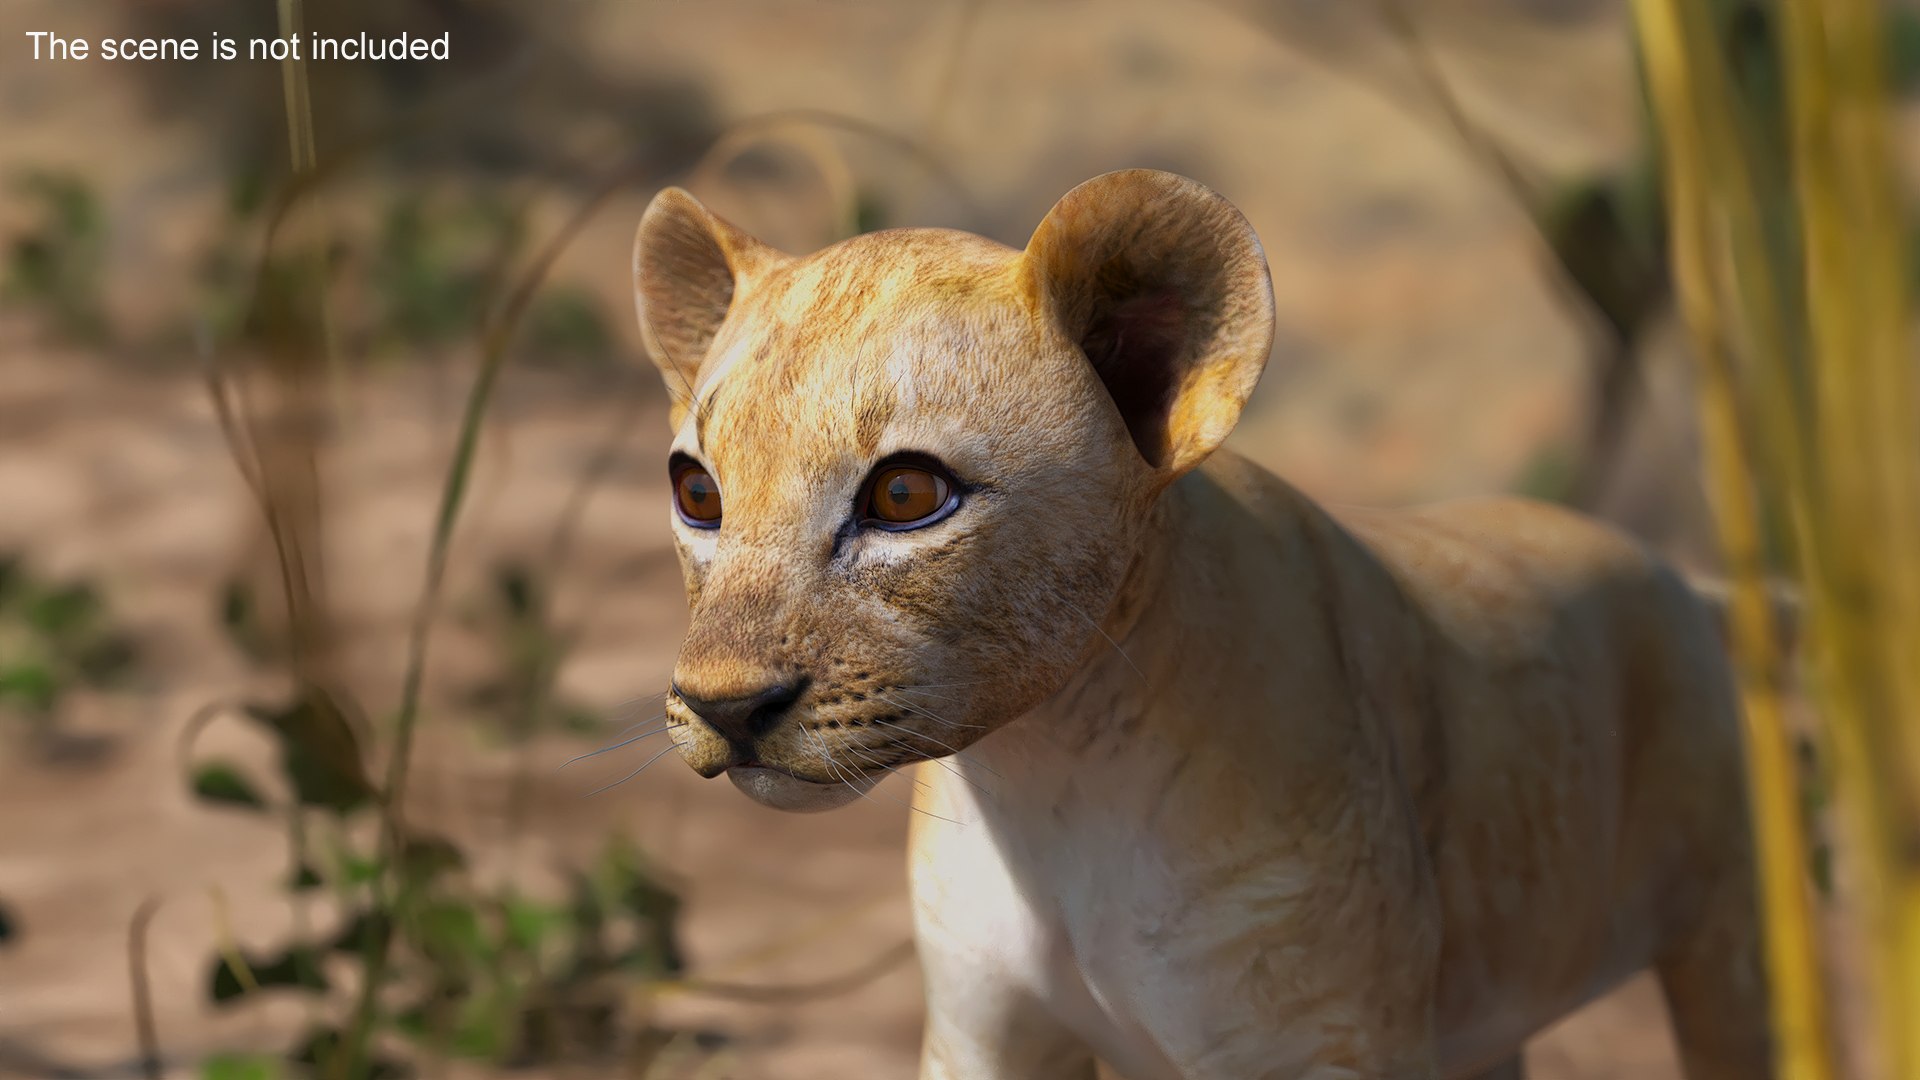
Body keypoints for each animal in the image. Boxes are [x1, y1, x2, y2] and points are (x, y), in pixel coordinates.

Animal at [628, 169, 1770, 1079]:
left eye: (906, 495)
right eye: (698, 492)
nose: (724, 707)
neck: (1049, 781)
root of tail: (1675, 575)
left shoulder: (1319, 1044)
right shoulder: (984, 1028)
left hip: (1724, 930)